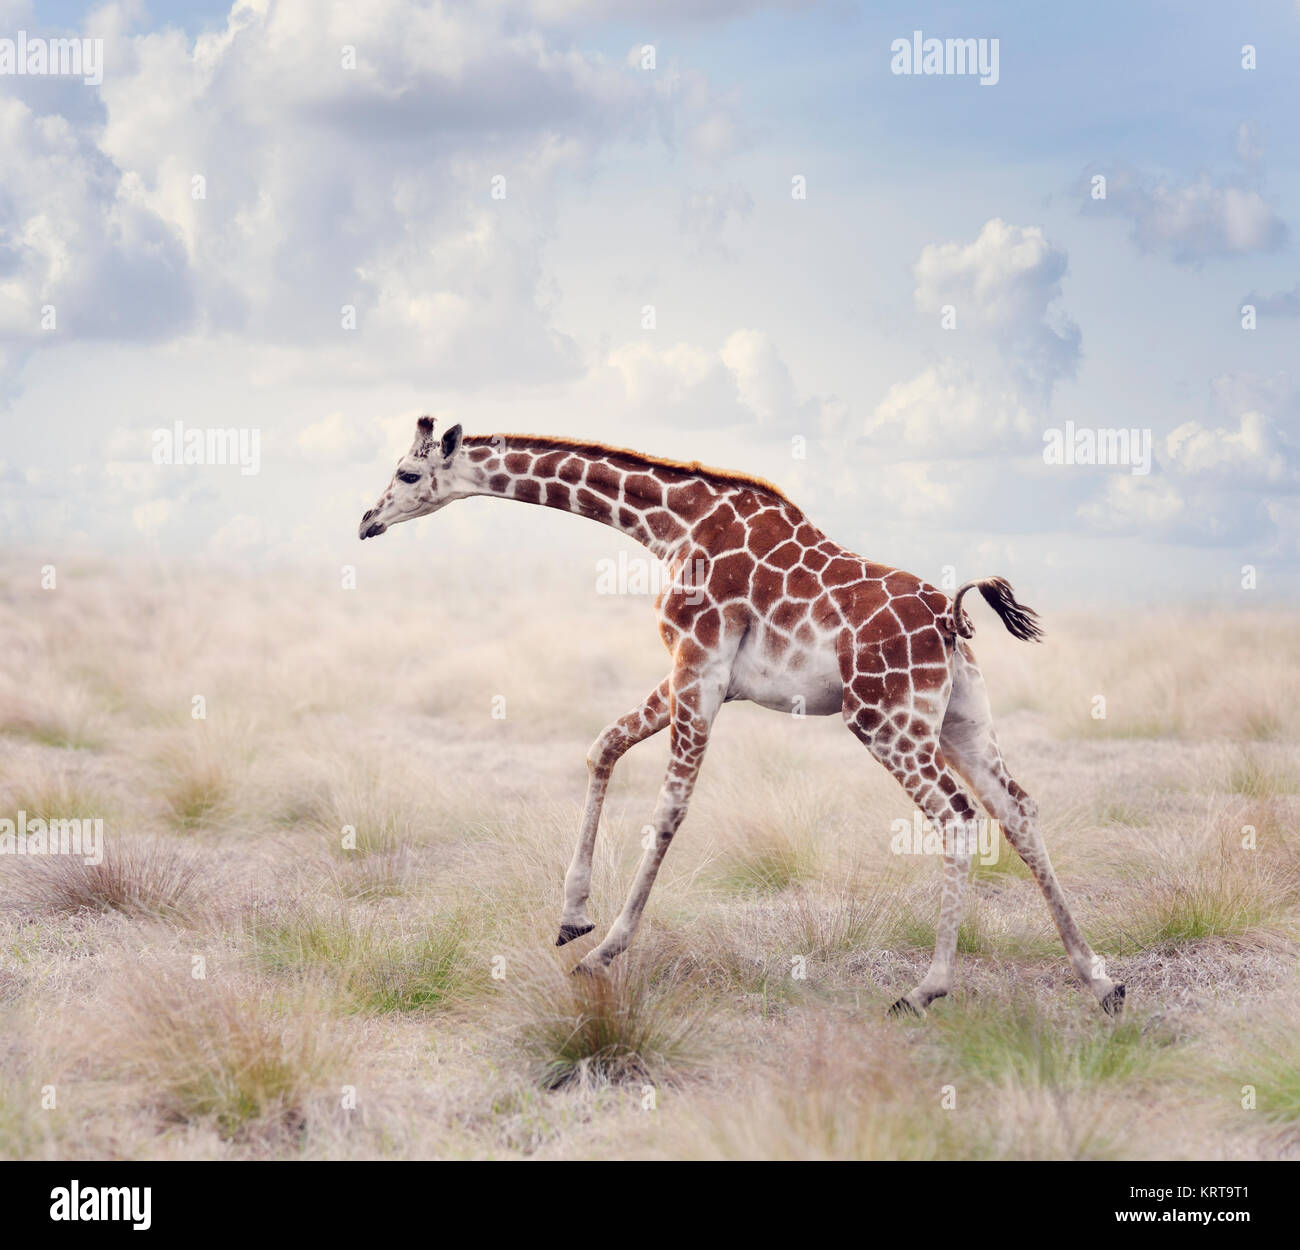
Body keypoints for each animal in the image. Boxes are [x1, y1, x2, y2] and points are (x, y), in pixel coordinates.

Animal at [359, 416, 1125, 1017]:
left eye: (405, 471)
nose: (366, 521)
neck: (670, 524)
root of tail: (949, 616)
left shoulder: (697, 667)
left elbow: (669, 809)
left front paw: (604, 952)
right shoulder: (693, 676)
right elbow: (602, 747)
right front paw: (573, 917)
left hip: (884, 717)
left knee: (957, 815)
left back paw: (926, 989)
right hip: (961, 720)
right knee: (1018, 809)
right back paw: (1100, 980)